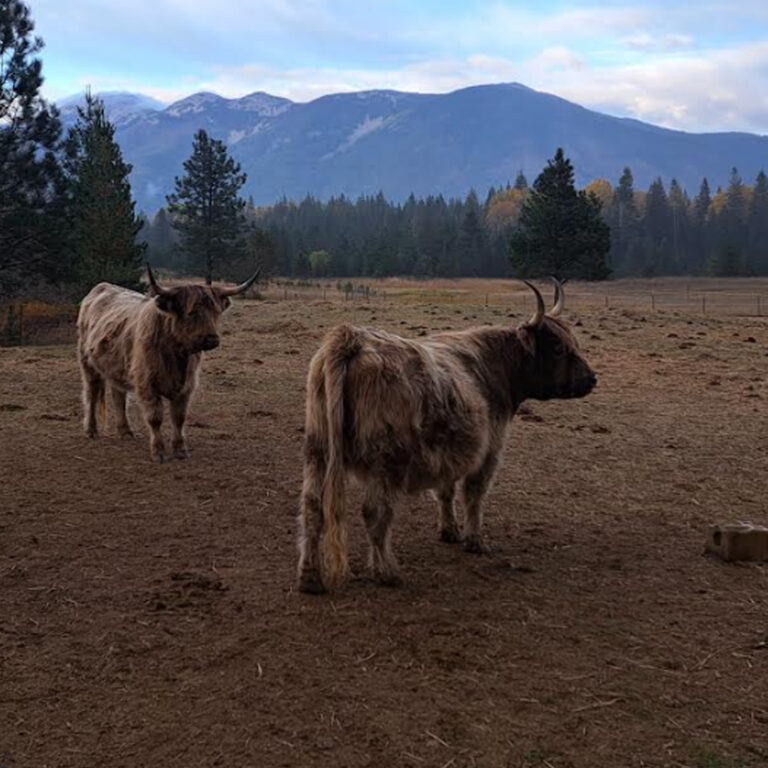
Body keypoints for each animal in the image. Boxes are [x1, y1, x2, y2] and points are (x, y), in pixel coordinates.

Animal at [77, 265, 260, 462]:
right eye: (191, 312)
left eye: (216, 312)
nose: (211, 339)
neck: (176, 354)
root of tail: (101, 287)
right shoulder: (147, 383)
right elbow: (155, 417)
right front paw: (158, 452)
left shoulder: (186, 386)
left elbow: (179, 417)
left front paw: (180, 450)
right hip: (87, 363)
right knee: (91, 393)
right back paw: (91, 430)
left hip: (116, 366)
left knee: (119, 396)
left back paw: (125, 432)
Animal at [297, 278, 597, 593]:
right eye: (558, 347)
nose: (591, 379)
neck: (495, 366)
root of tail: (352, 338)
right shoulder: (490, 449)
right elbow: (475, 494)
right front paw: (474, 540)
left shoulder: (449, 451)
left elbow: (446, 490)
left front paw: (449, 530)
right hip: (387, 461)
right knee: (375, 512)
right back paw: (386, 571)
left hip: (318, 449)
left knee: (312, 507)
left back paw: (310, 577)